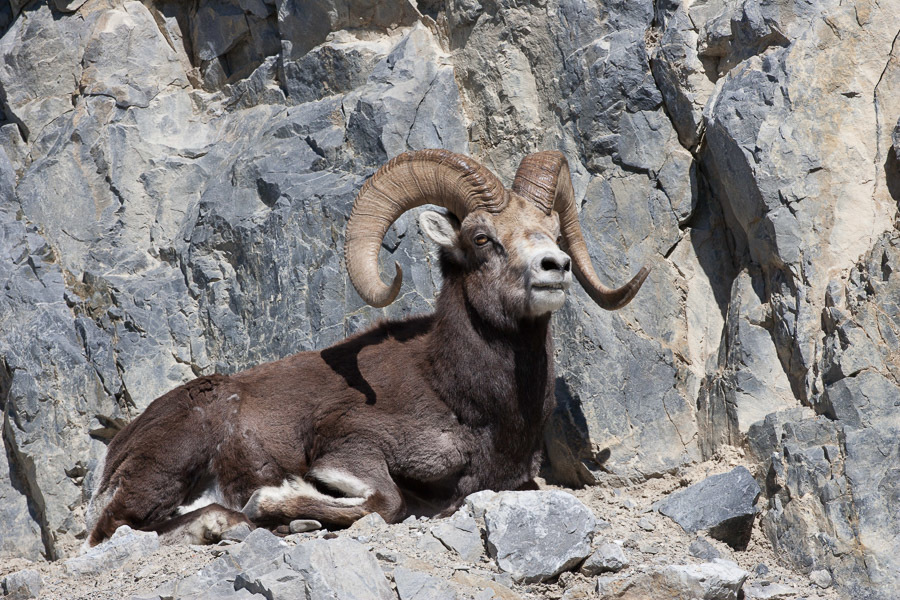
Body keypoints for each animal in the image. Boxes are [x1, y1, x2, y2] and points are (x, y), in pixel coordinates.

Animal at [85, 149, 649, 546]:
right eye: (482, 238)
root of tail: (121, 445)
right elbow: (387, 501)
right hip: (174, 461)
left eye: (554, 231)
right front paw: (278, 499)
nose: (556, 267)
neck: (467, 403)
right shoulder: (349, 448)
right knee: (117, 527)